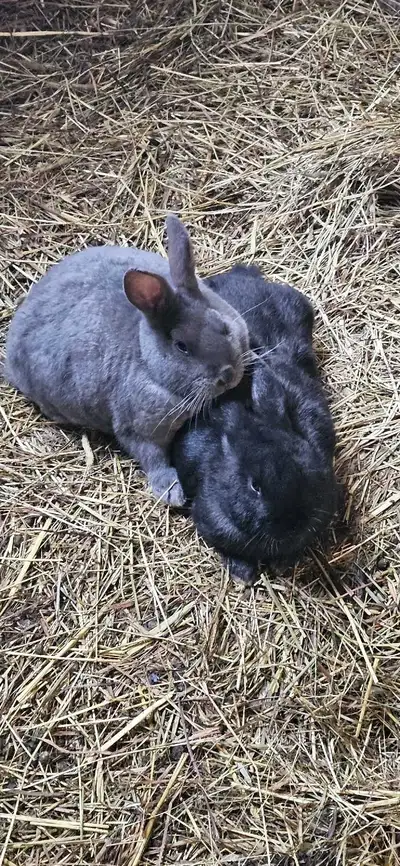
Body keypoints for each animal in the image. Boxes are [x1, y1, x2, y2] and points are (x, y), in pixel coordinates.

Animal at [4, 216, 249, 506]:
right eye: (181, 347)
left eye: (222, 326)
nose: (227, 375)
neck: (148, 362)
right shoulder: (138, 430)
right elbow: (152, 458)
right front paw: (172, 493)